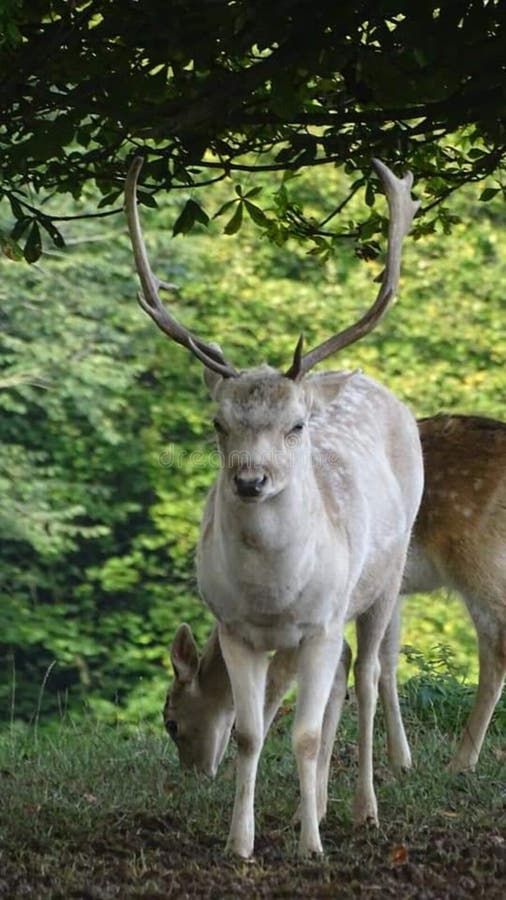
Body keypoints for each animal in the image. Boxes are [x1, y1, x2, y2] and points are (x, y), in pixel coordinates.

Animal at [125, 155, 423, 857]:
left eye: (295, 425)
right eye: (218, 422)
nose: (250, 481)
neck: (272, 596)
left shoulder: (318, 625)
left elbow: (306, 734)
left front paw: (312, 846)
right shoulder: (237, 628)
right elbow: (250, 731)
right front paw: (241, 843)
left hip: (386, 577)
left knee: (368, 677)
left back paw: (364, 810)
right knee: (342, 682)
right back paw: (313, 808)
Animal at [164, 413, 506, 797]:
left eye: (171, 723)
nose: (195, 774)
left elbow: (282, 680)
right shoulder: (387, 591)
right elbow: (385, 661)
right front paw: (401, 761)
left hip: (477, 555)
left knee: (496, 650)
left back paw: (461, 762)